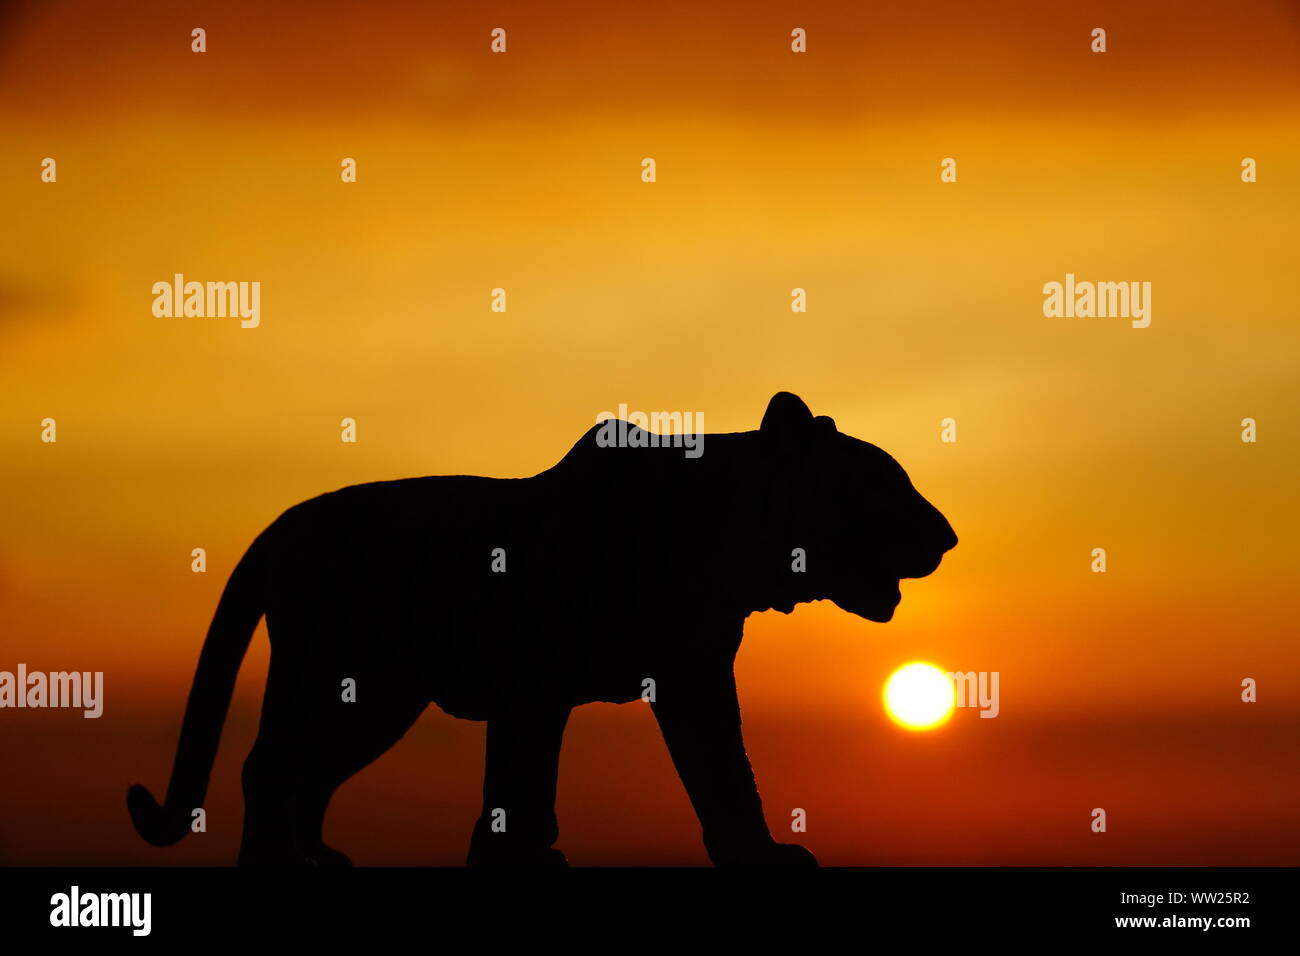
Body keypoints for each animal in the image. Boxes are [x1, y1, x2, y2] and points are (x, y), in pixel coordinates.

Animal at [127, 392, 957, 867]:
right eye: (885, 483)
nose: (947, 537)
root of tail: (282, 526)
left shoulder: (638, 680)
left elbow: (555, 775)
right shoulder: (605, 679)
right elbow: (713, 768)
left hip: (379, 699)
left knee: (308, 773)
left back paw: (316, 859)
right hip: (341, 678)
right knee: (269, 766)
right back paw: (272, 869)